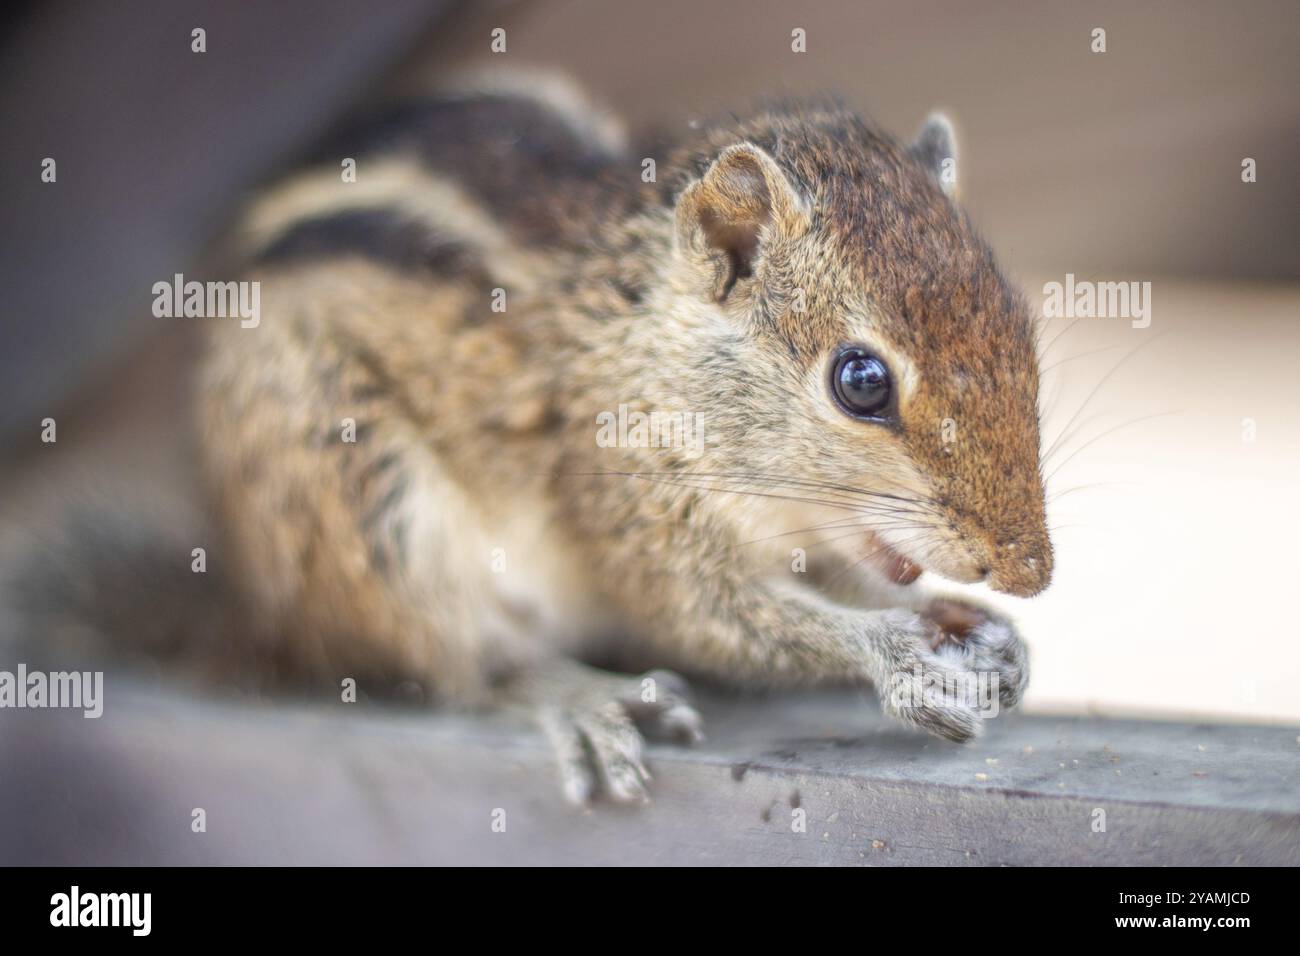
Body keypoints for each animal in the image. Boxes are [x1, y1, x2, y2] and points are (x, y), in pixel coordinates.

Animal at [19, 70, 1054, 805]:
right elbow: (716, 620)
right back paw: (580, 697)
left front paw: (989, 639)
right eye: (861, 381)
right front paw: (897, 658)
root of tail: (262, 613)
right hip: (357, 492)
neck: (642, 343)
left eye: (1022, 325)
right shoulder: (630, 503)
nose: (1031, 573)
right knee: (466, 665)